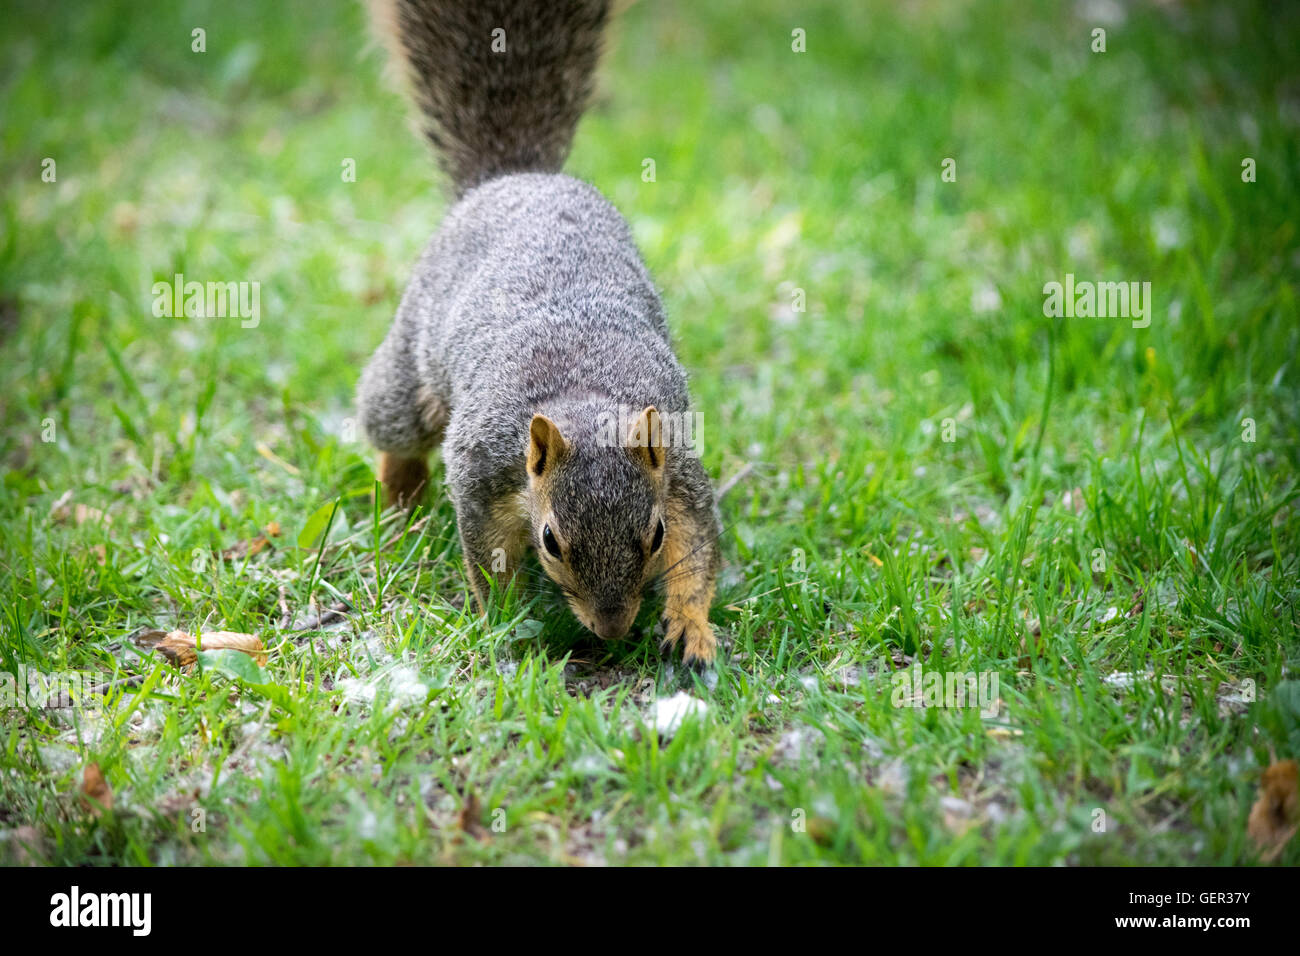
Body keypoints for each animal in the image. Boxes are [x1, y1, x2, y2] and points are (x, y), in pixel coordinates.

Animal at [356, 0, 721, 665]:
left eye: (653, 533)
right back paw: (399, 500)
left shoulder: (677, 466)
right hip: (409, 374)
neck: (582, 398)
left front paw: (690, 625)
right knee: (393, 427)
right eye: (550, 540)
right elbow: (488, 557)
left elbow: (698, 548)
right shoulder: (483, 472)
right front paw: (502, 623)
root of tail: (516, 178)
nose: (612, 629)